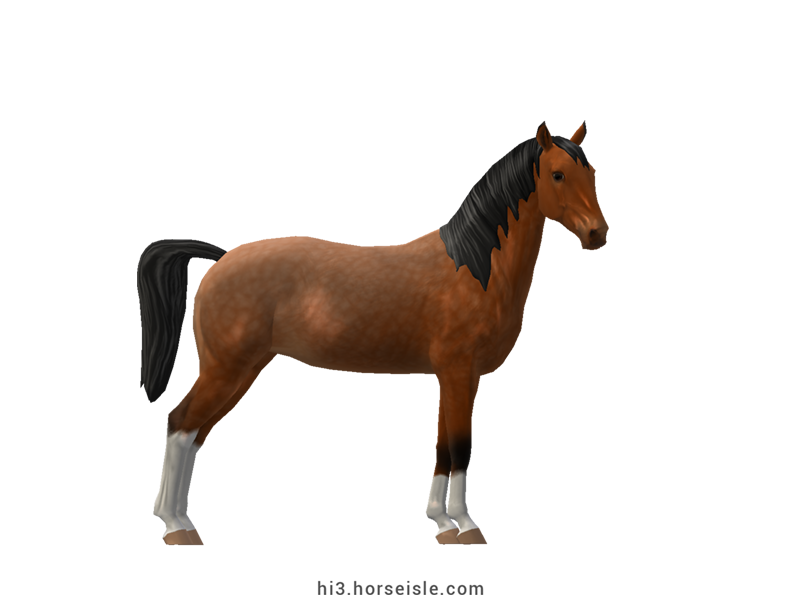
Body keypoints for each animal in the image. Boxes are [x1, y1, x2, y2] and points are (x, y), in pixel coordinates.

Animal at [140, 121, 608, 540]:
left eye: (588, 170)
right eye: (558, 174)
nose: (597, 232)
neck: (476, 268)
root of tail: (217, 261)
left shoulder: (451, 374)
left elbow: (443, 445)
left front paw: (440, 521)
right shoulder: (459, 370)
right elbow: (460, 443)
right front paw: (465, 523)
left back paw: (173, 517)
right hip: (227, 368)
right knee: (181, 425)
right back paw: (172, 523)